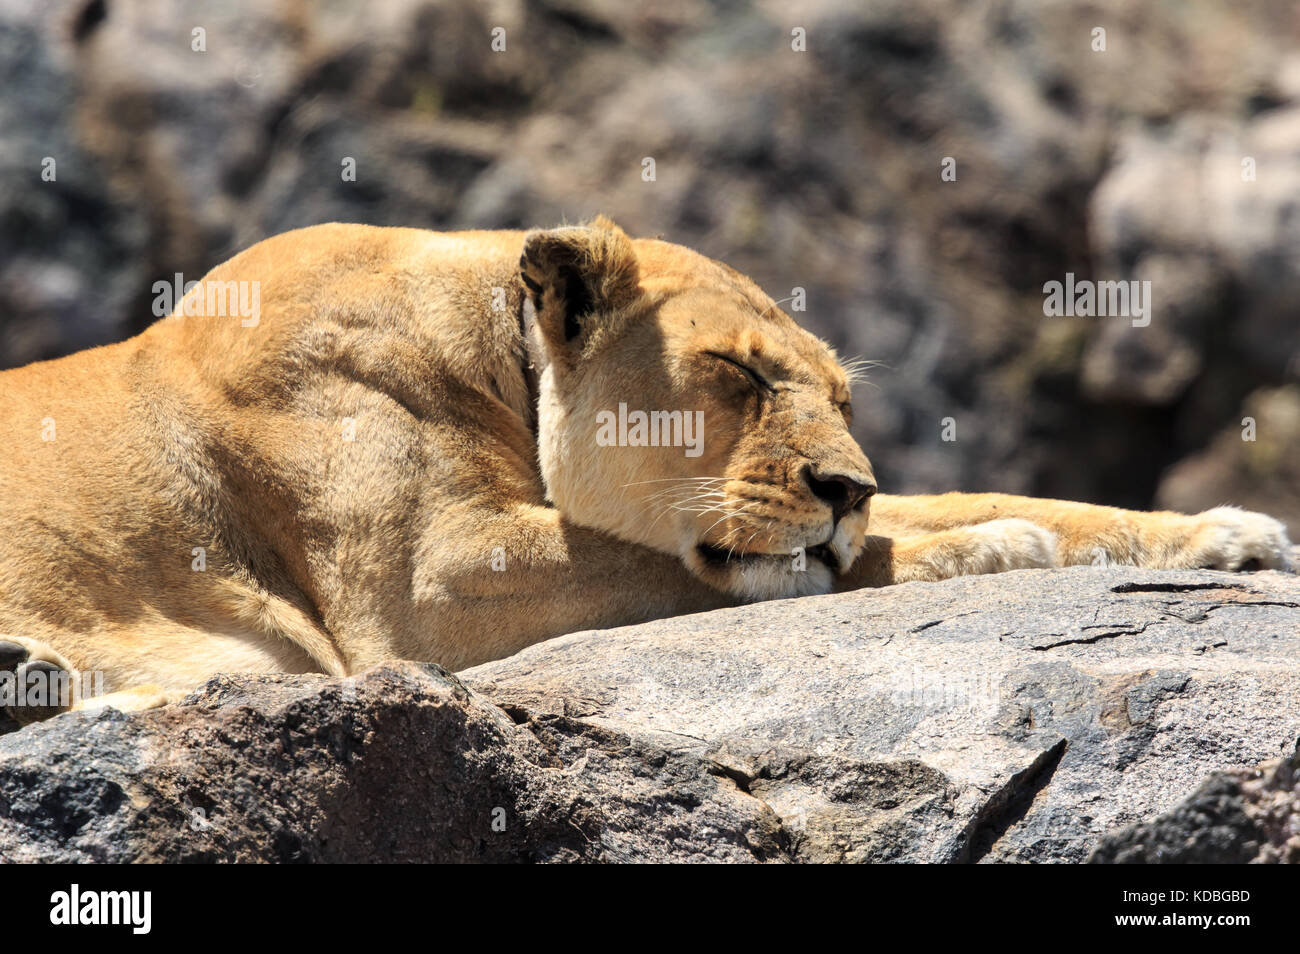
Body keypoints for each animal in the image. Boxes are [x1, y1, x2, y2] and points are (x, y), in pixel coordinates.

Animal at [0, 218, 1291, 724]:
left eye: (843, 398)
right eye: (735, 371)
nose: (845, 485)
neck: (488, 349)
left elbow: (992, 501)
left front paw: (1222, 536)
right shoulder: (423, 588)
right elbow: (716, 568)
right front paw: (979, 551)